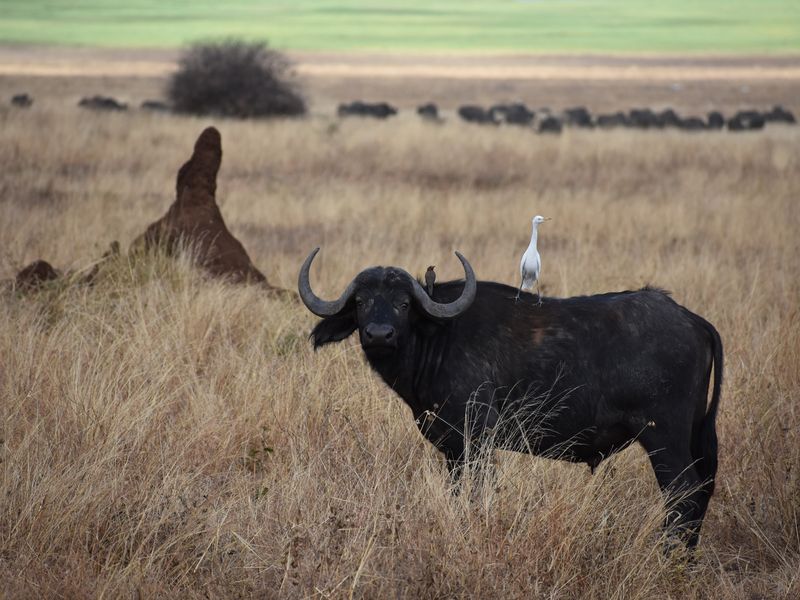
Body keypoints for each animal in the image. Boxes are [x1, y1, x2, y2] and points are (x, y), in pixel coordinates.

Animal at [299, 250, 723, 548]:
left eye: (404, 303)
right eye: (361, 302)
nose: (379, 334)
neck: (440, 336)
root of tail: (692, 320)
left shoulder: (476, 441)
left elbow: (477, 494)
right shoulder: (453, 451)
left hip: (663, 437)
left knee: (683, 495)